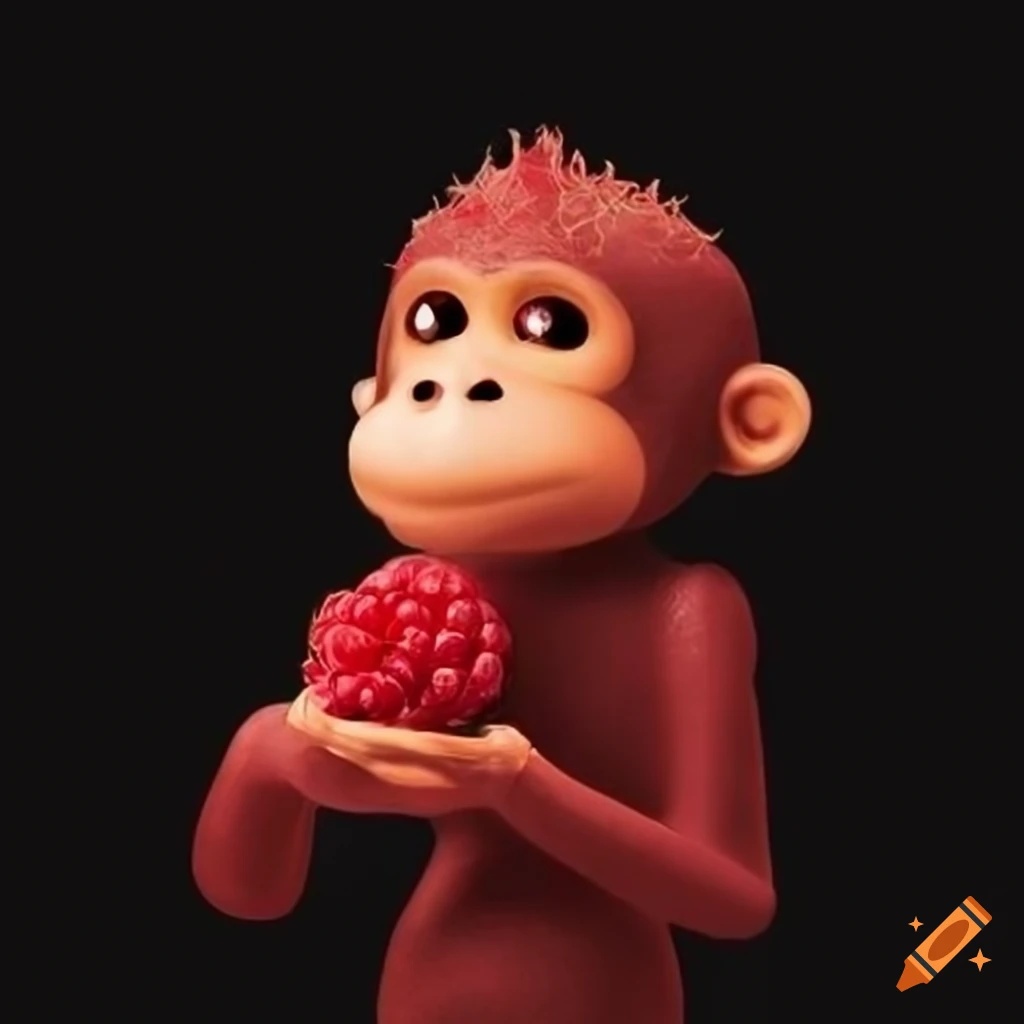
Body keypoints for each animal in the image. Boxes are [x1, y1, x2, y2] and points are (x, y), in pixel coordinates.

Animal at [192, 127, 811, 1023]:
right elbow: (242, 889)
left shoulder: (714, 615)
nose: (445, 385)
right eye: (433, 319)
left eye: (551, 325)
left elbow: (726, 884)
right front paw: (292, 738)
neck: (557, 571)